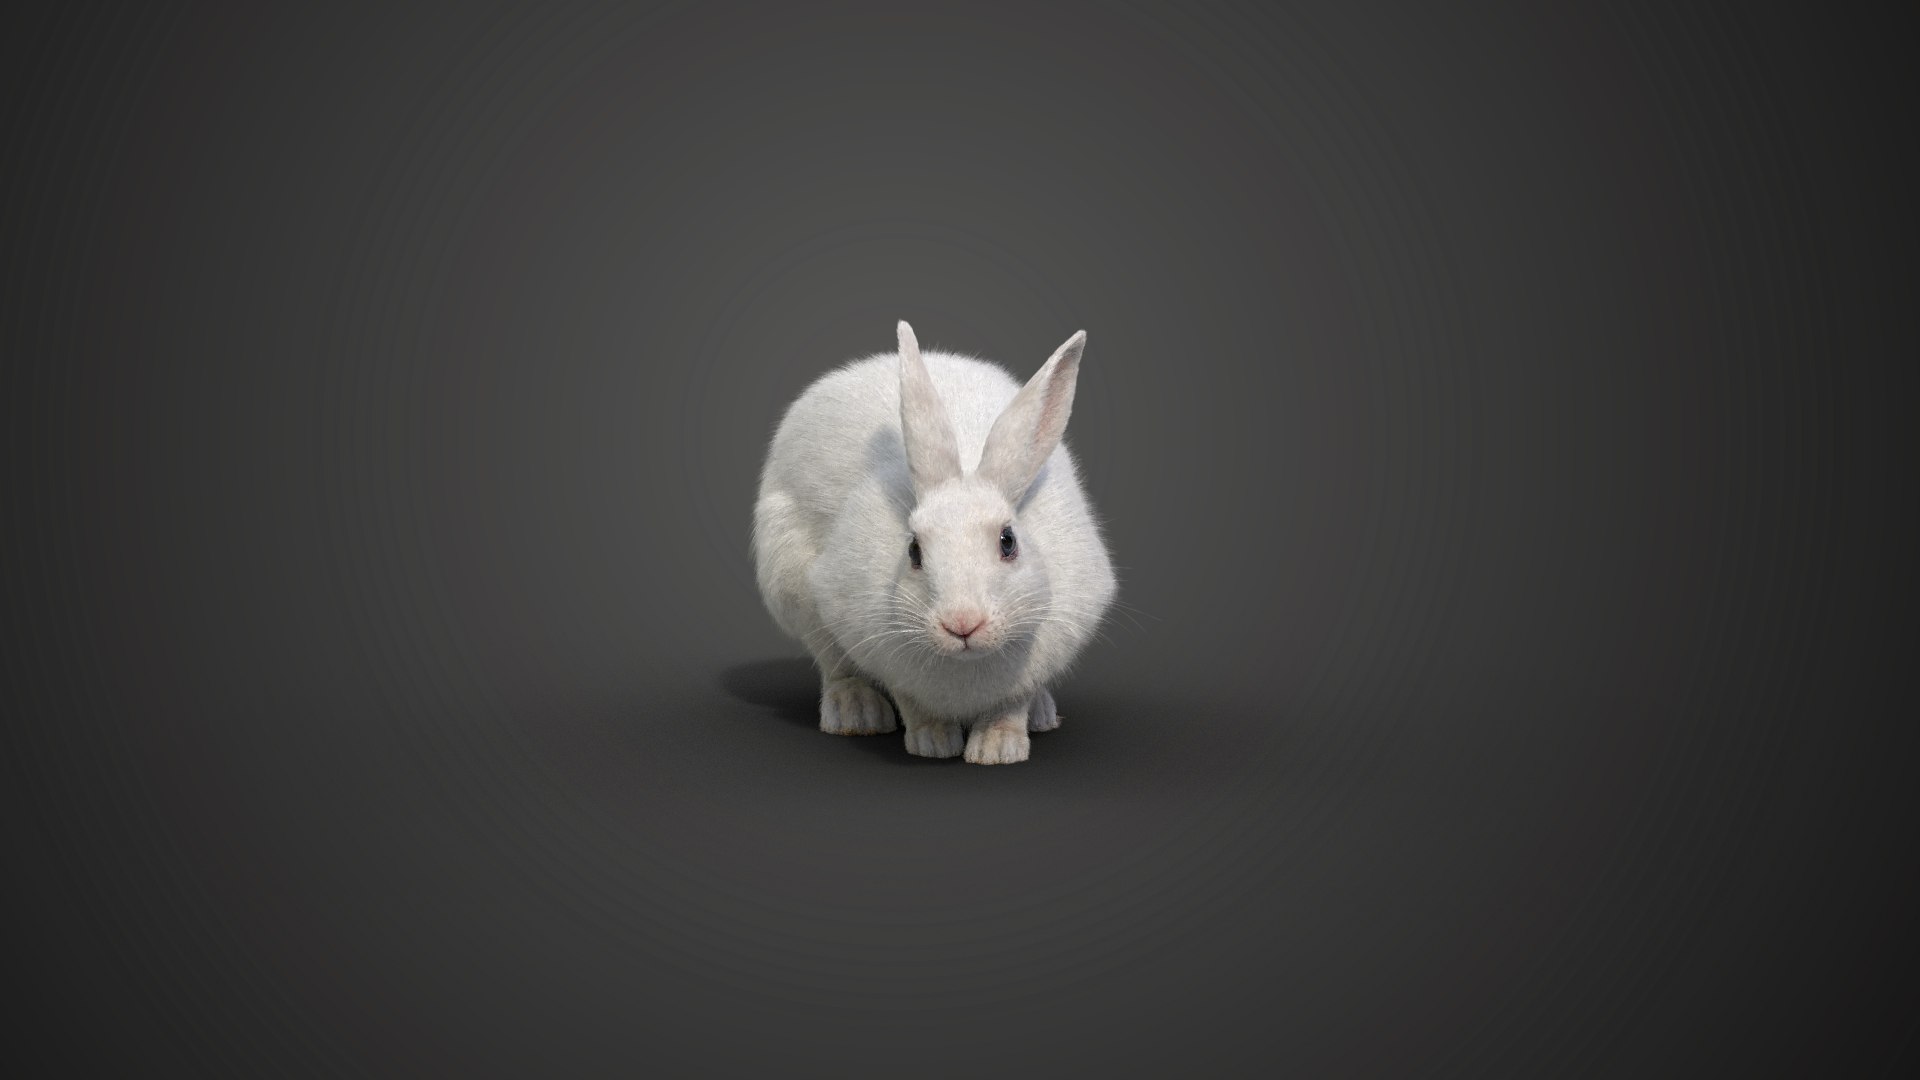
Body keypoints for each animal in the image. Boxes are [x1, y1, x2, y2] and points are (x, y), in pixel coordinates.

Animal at [751, 321, 1117, 764]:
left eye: (1008, 541)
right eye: (913, 551)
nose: (962, 623)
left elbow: (1011, 705)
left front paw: (998, 748)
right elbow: (912, 703)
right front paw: (933, 742)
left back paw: (1042, 714)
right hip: (791, 583)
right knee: (834, 664)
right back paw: (855, 711)